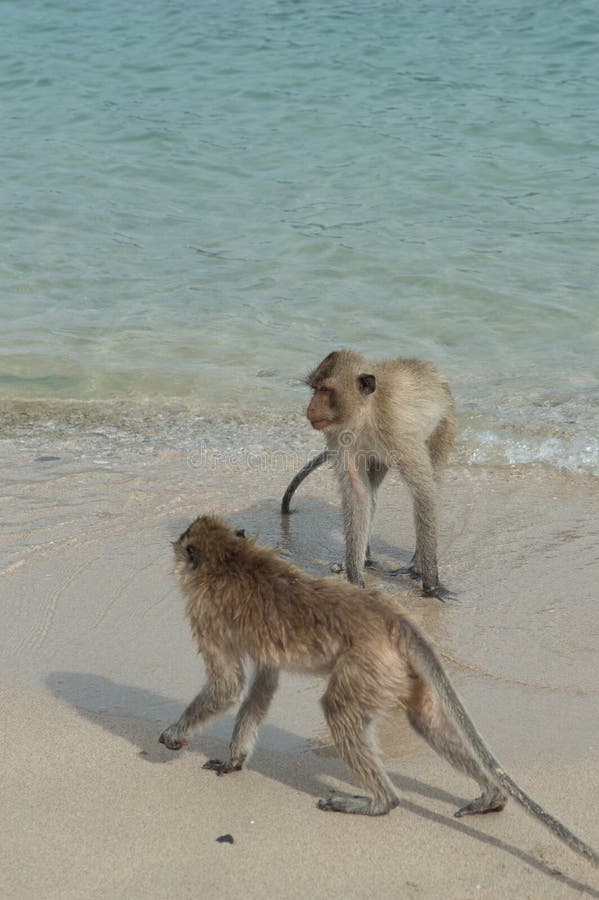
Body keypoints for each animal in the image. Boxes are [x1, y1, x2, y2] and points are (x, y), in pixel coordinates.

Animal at [159, 515, 598, 869]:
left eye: (183, 543)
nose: (173, 552)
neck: (229, 557)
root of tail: (391, 616)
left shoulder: (204, 613)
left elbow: (227, 685)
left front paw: (174, 733)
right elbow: (263, 681)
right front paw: (234, 759)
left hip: (368, 665)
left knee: (338, 708)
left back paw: (380, 802)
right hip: (396, 671)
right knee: (426, 719)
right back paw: (491, 794)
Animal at [281, 350, 457, 599]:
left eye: (324, 389)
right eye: (314, 389)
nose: (310, 408)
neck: (367, 413)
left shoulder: (397, 430)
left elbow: (424, 492)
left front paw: (431, 584)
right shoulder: (340, 435)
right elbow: (358, 493)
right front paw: (355, 578)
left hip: (445, 422)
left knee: (433, 482)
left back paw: (416, 564)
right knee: (371, 492)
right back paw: (364, 557)